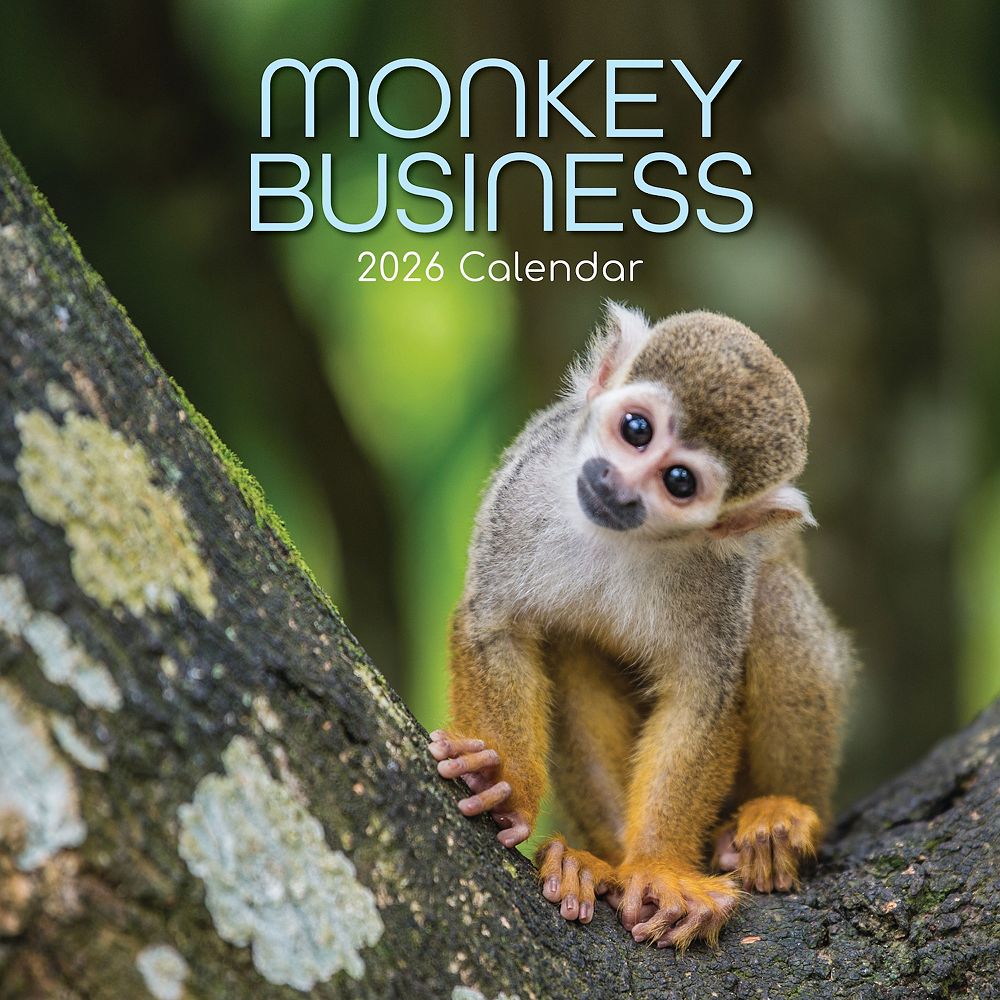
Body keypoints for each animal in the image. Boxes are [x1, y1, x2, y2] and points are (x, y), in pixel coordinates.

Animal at [428, 305, 854, 950]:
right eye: (635, 429)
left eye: (678, 481)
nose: (617, 484)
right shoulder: (528, 479)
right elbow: (498, 625)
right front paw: (501, 783)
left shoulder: (719, 572)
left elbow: (700, 697)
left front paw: (658, 867)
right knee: (571, 643)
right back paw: (595, 864)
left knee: (774, 595)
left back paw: (781, 819)